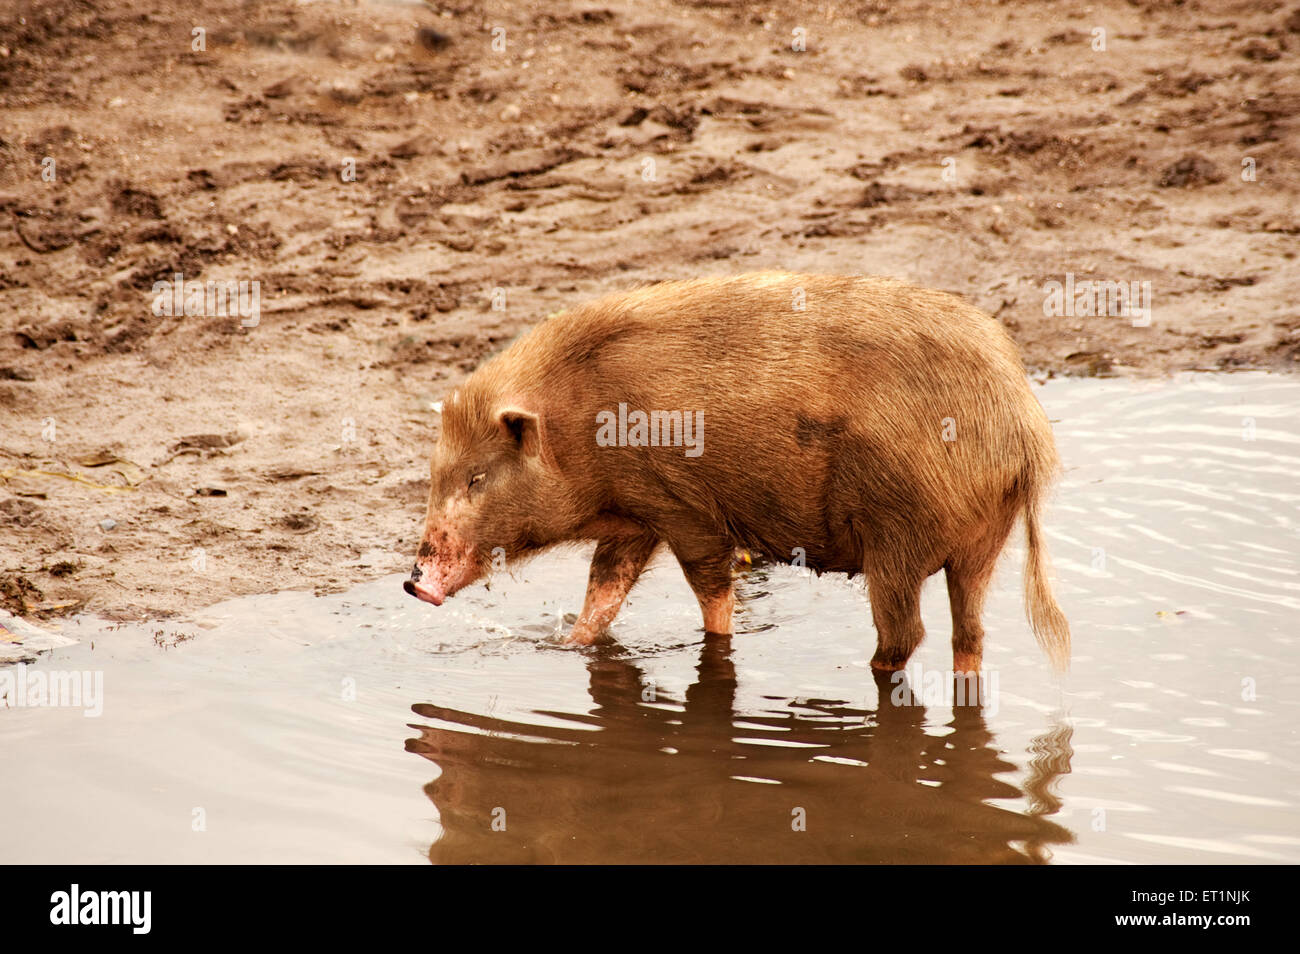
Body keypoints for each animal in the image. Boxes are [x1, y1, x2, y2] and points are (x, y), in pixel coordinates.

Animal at [405, 272, 1070, 673]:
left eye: (476, 479)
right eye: (434, 474)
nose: (414, 583)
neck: (583, 425)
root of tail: (1023, 425)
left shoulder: (683, 507)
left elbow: (710, 589)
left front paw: (717, 646)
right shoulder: (640, 514)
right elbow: (604, 590)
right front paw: (566, 646)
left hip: (898, 532)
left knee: (908, 634)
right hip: (981, 541)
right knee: (969, 634)